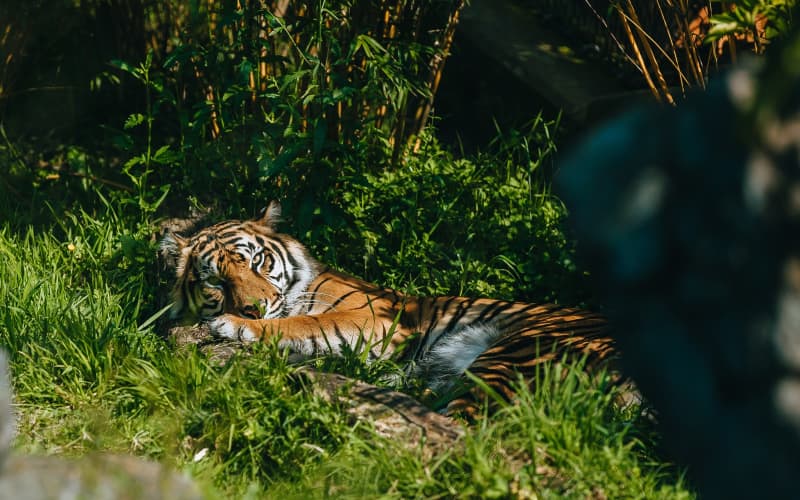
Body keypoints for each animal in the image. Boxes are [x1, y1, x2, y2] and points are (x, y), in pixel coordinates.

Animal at [160, 201, 618, 417]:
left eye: (257, 262)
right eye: (217, 281)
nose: (254, 309)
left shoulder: (376, 318)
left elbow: (305, 323)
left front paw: (234, 325)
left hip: (517, 351)